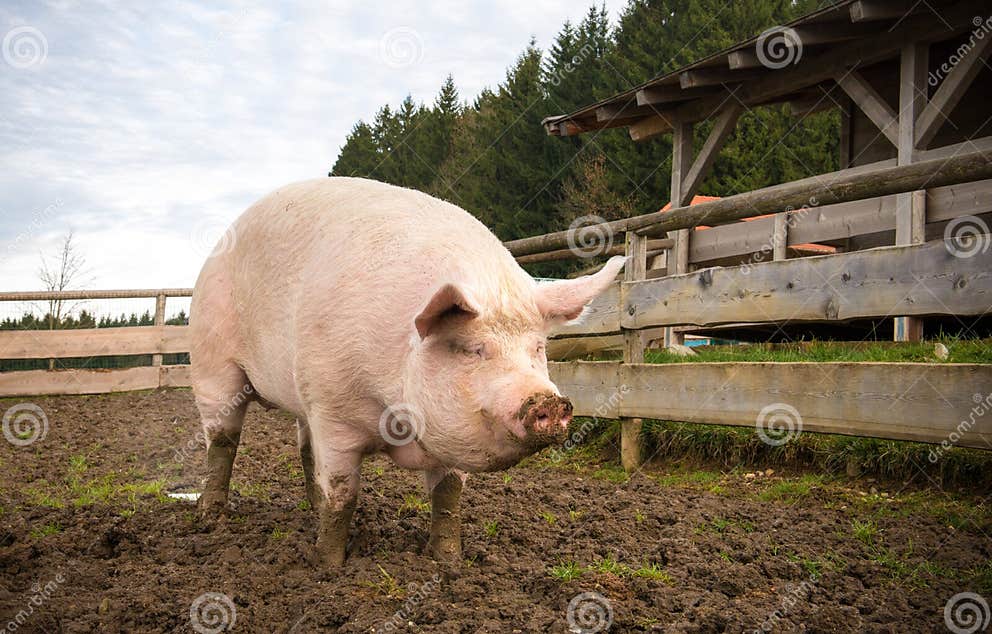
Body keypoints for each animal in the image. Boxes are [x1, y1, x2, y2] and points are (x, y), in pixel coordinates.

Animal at [189, 177, 625, 566]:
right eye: (473, 350)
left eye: (537, 348)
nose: (549, 401)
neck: (396, 418)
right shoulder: (333, 410)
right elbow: (342, 494)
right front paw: (326, 566)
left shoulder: (450, 437)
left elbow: (448, 495)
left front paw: (447, 561)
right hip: (212, 362)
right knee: (223, 440)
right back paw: (210, 518)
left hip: (300, 393)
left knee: (304, 447)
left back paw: (308, 509)